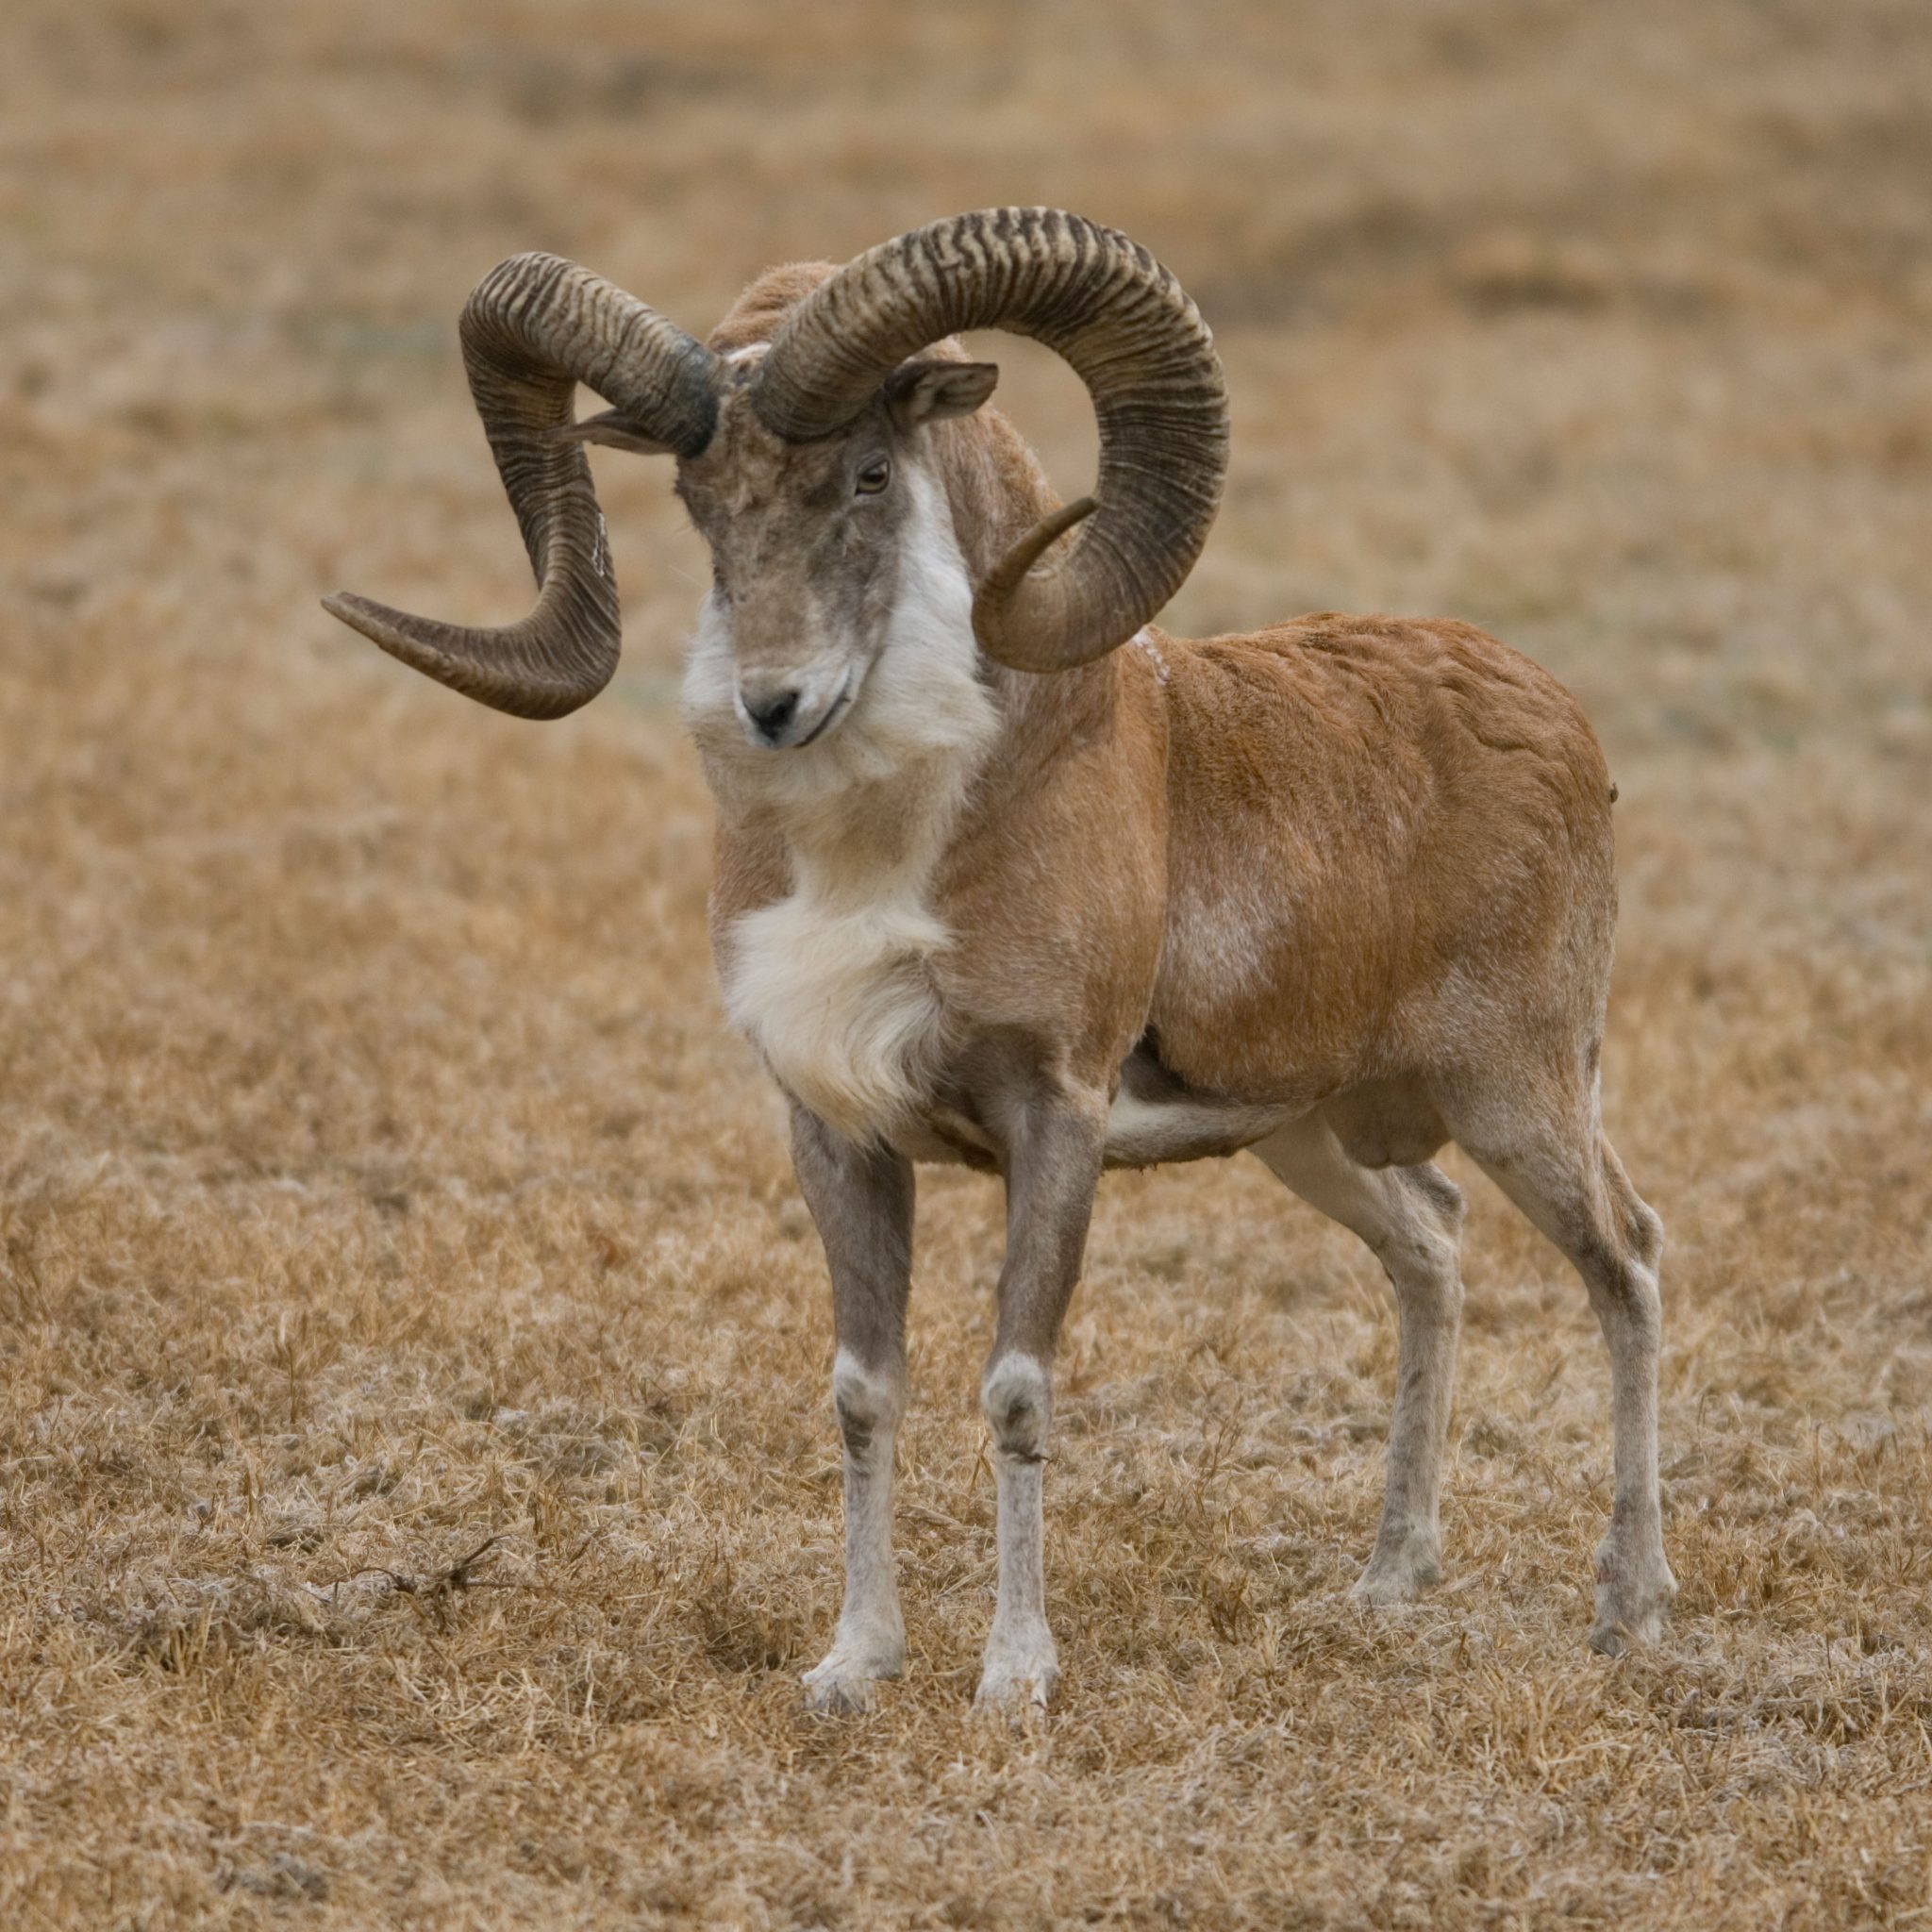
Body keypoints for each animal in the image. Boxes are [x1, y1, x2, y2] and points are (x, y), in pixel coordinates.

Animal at [324, 207, 1674, 1710]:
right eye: (698, 498)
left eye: (867, 472)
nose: (774, 703)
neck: (888, 850)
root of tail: (1555, 720)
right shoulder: (838, 1136)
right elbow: (866, 1391)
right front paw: (852, 1666)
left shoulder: (1054, 1122)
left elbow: (1016, 1385)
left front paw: (1013, 1678)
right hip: (1315, 1140)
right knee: (1432, 1249)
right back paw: (1388, 1583)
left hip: (1521, 1102)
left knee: (1627, 1263)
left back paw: (1628, 1612)